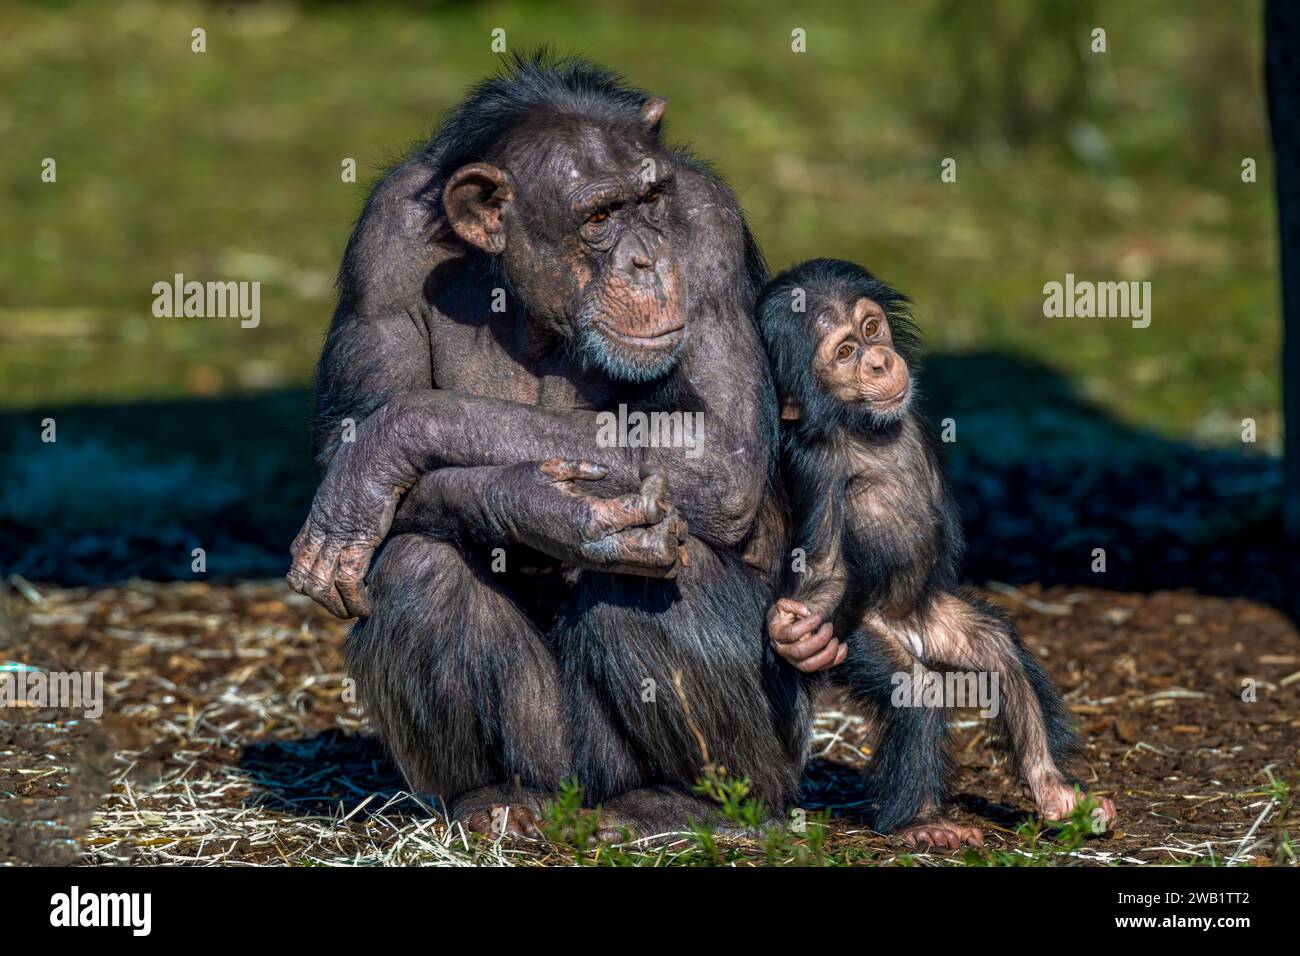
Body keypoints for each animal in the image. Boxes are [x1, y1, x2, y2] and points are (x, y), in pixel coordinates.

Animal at [756, 258, 1117, 850]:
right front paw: (795, 634)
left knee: (1001, 655)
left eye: (871, 328)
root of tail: (911, 629)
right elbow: (824, 568)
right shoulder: (816, 470)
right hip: (861, 634)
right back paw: (919, 822)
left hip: (942, 619)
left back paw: (1055, 793)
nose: (879, 359)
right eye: (844, 353)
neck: (861, 429)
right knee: (916, 688)